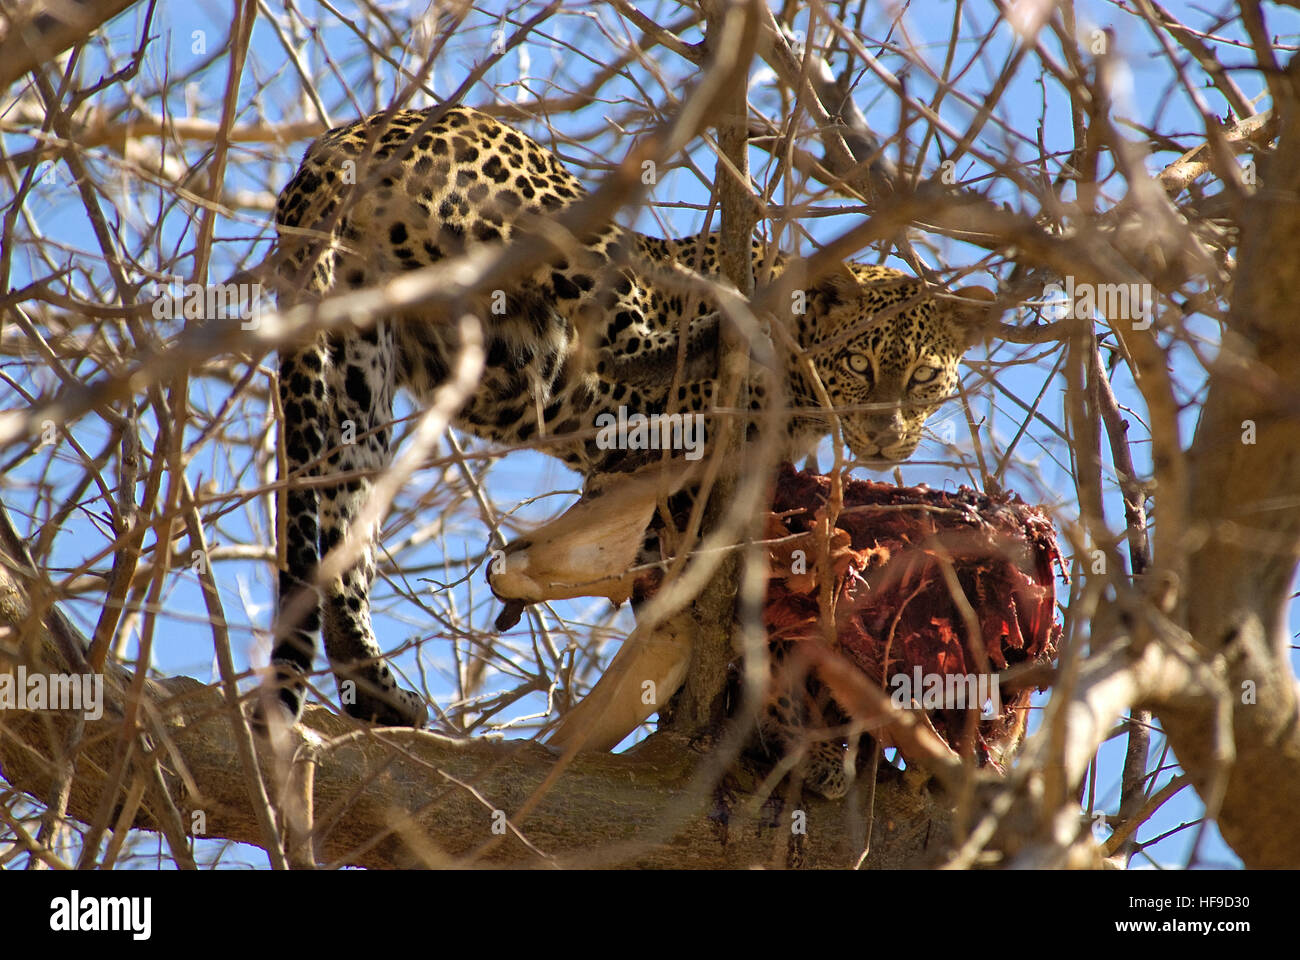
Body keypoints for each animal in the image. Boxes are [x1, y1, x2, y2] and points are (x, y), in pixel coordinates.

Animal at [264, 102, 993, 799]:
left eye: (924, 377)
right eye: (861, 366)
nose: (886, 435)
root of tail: (347, 136)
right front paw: (795, 739)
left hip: (364, 373)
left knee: (347, 538)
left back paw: (378, 690)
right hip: (570, 244)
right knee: (618, 346)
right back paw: (716, 334)